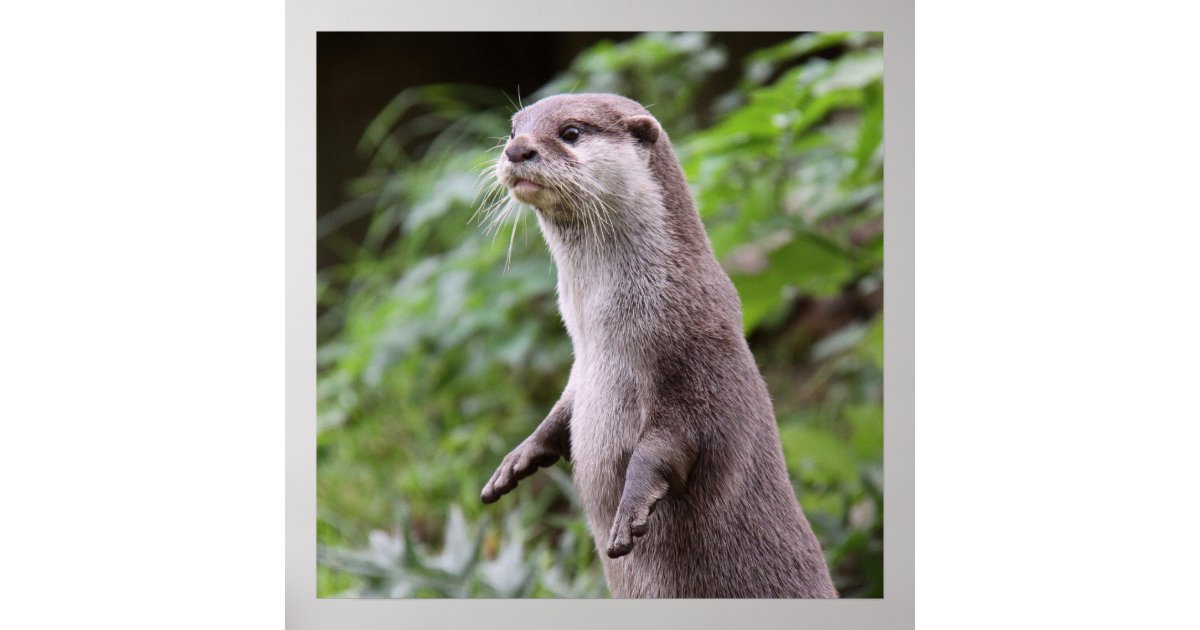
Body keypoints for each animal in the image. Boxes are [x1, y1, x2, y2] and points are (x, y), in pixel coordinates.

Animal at [479, 93, 837, 598]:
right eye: (513, 130)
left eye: (570, 132)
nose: (516, 150)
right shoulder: (582, 369)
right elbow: (562, 409)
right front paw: (518, 458)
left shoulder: (698, 358)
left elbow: (673, 443)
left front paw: (630, 510)